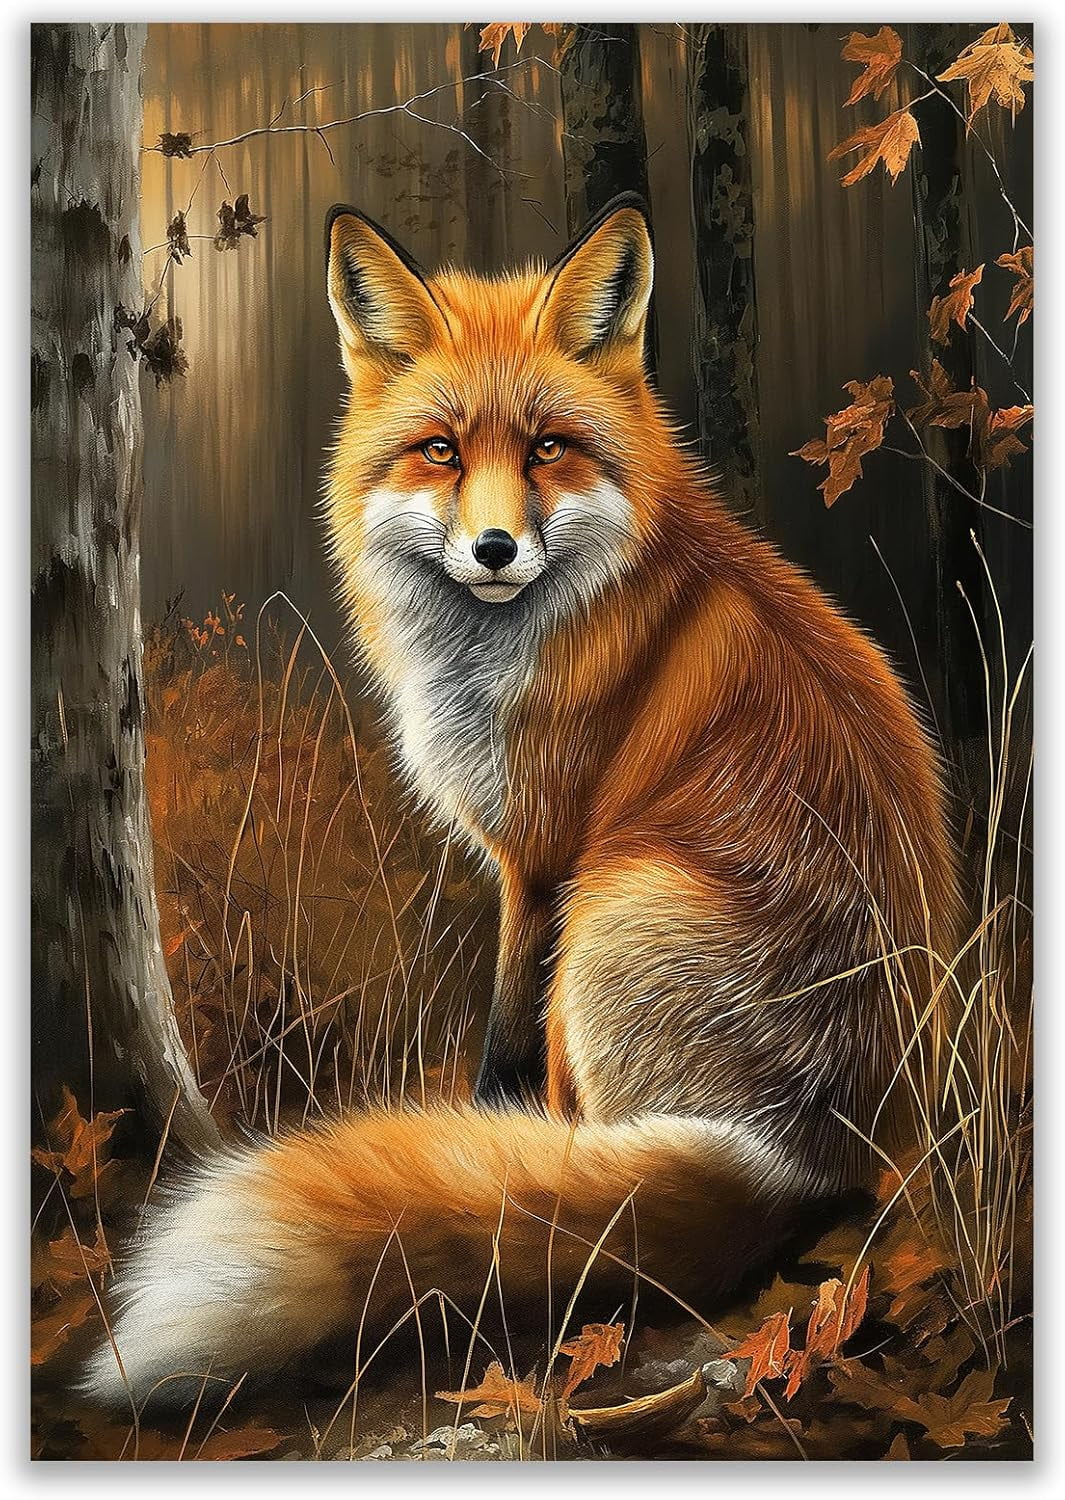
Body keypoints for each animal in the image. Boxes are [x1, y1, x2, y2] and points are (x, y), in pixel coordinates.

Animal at [83, 194, 960, 1406]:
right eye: (442, 451)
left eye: (548, 446)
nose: (494, 548)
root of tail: (815, 1155)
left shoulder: (541, 862)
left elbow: (505, 1049)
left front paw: (495, 1136)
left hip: (613, 907)